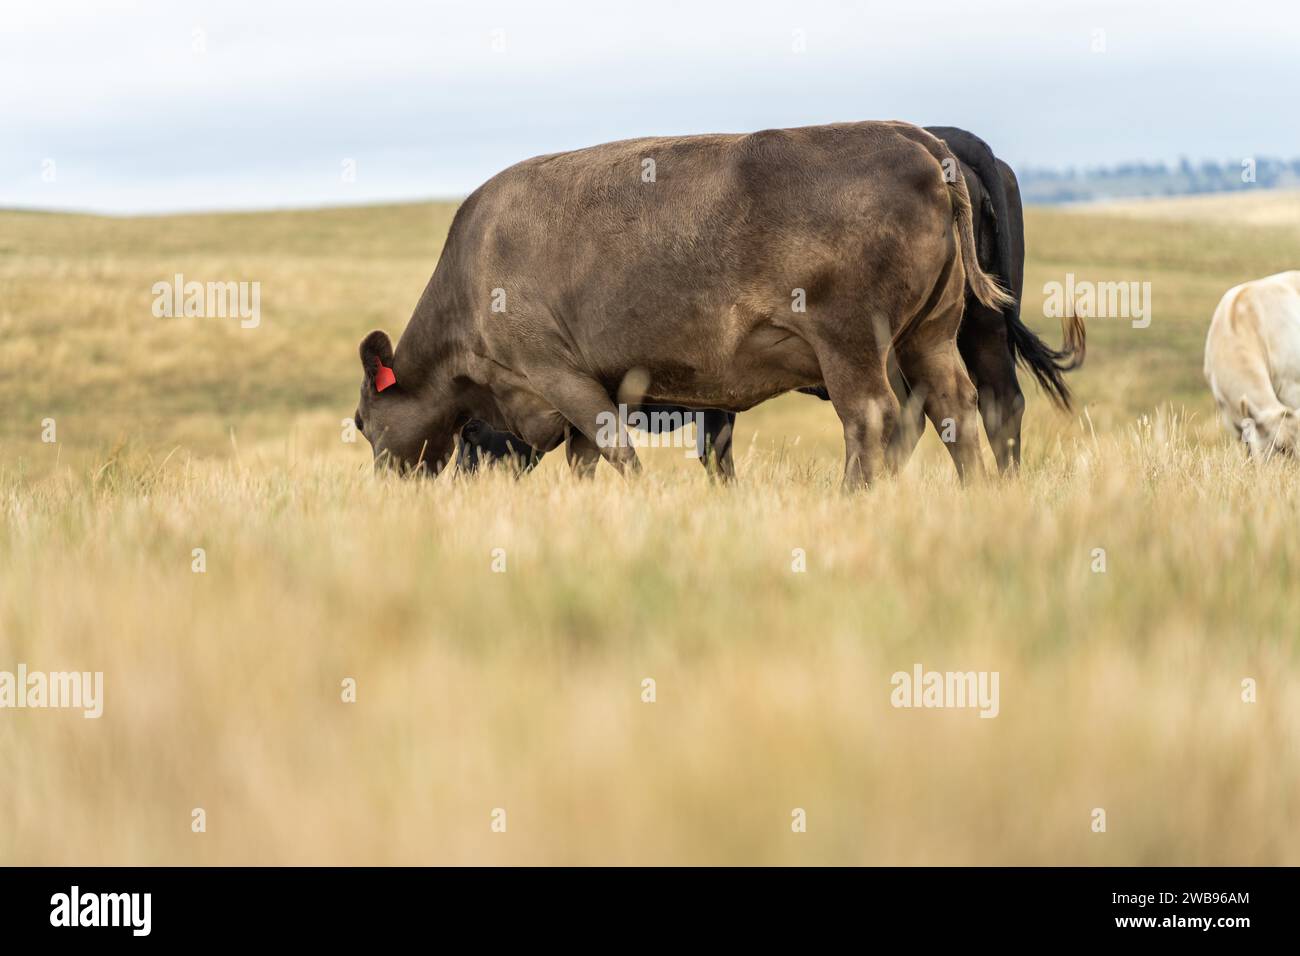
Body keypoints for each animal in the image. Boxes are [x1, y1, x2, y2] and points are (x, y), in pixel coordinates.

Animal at [354, 120, 1015, 488]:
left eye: (362, 422)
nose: (384, 486)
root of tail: (916, 138)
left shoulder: (556, 372)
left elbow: (614, 449)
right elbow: (585, 458)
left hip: (850, 343)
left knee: (873, 417)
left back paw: (852, 497)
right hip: (930, 336)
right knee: (956, 409)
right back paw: (977, 494)